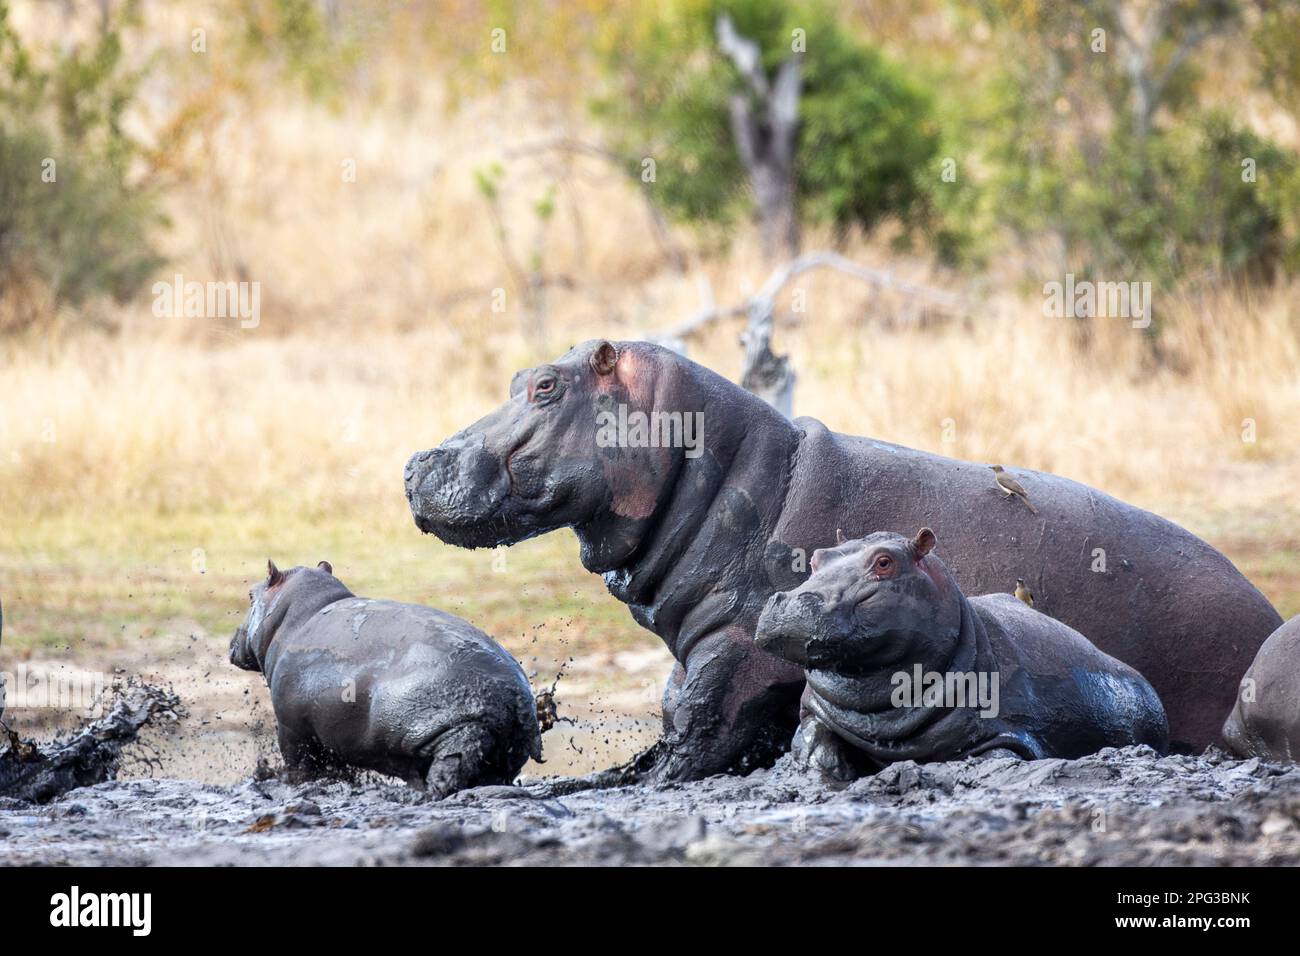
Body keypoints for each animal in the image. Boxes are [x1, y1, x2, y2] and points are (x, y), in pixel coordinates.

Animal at [229, 561, 541, 795]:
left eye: (250, 594)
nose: (233, 639)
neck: (296, 615)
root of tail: (512, 692)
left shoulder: (292, 727)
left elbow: (301, 765)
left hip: (450, 729)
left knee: (451, 762)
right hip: (512, 747)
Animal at [754, 528, 1168, 777]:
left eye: (884, 561)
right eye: (815, 557)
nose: (795, 600)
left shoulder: (1008, 732)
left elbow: (999, 755)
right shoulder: (814, 709)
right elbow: (811, 736)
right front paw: (830, 770)